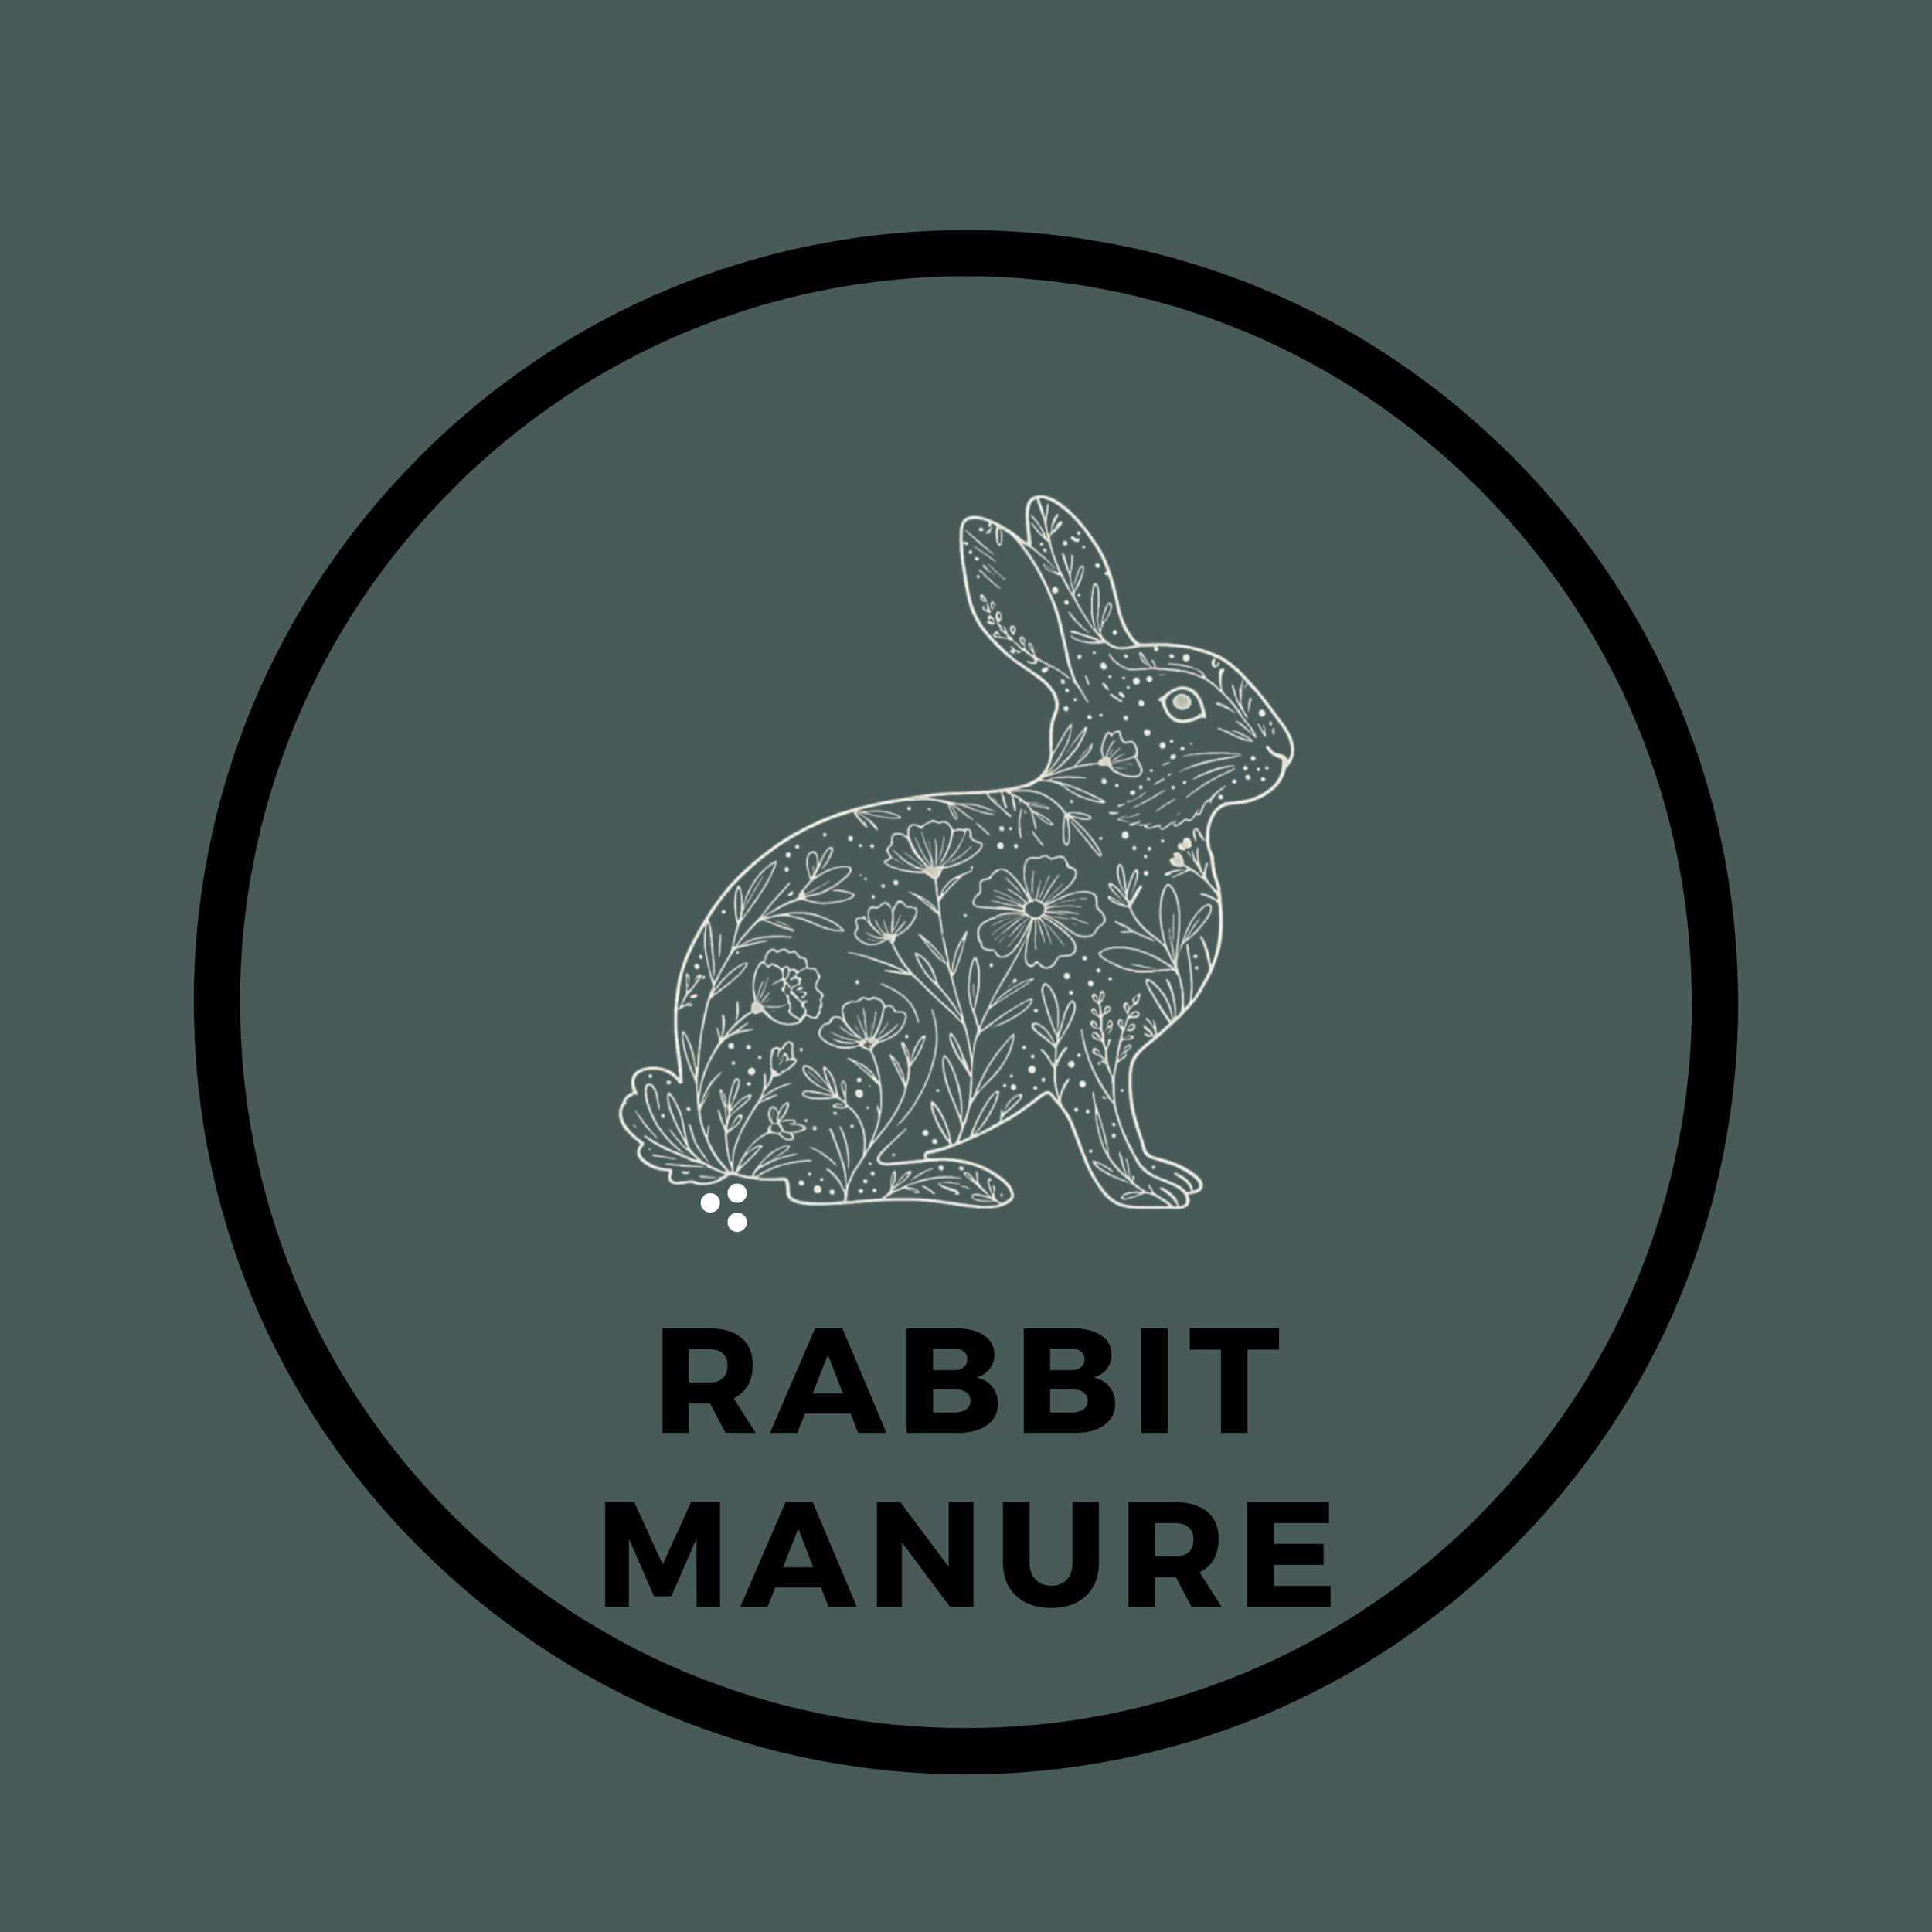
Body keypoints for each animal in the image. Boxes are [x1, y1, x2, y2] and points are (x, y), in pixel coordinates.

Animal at [620, 496, 1292, 1209]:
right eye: (1183, 703)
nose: (1281, 751)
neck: (1113, 814)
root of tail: (711, 1134)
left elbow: (1121, 1112)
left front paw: (1168, 1177)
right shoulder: (1082, 1028)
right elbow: (1101, 1115)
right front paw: (1144, 1192)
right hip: (884, 1044)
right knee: (832, 1181)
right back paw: (965, 1182)